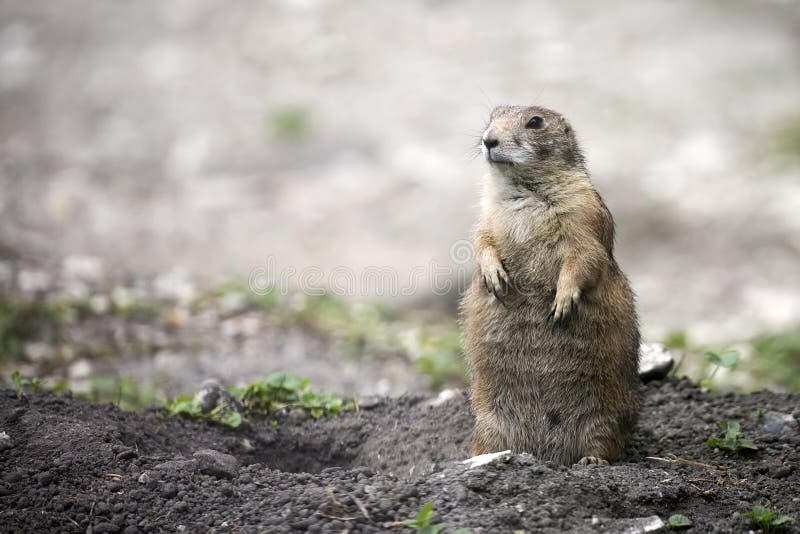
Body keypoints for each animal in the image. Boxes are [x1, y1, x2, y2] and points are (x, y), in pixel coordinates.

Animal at [461, 105, 640, 465]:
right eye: (493, 116)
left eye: (535, 122)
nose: (488, 140)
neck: (524, 189)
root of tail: (546, 452)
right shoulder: (486, 216)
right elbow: (482, 239)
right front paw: (495, 277)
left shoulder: (584, 212)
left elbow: (585, 254)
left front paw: (561, 303)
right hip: (488, 422)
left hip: (604, 417)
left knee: (606, 444)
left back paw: (591, 460)